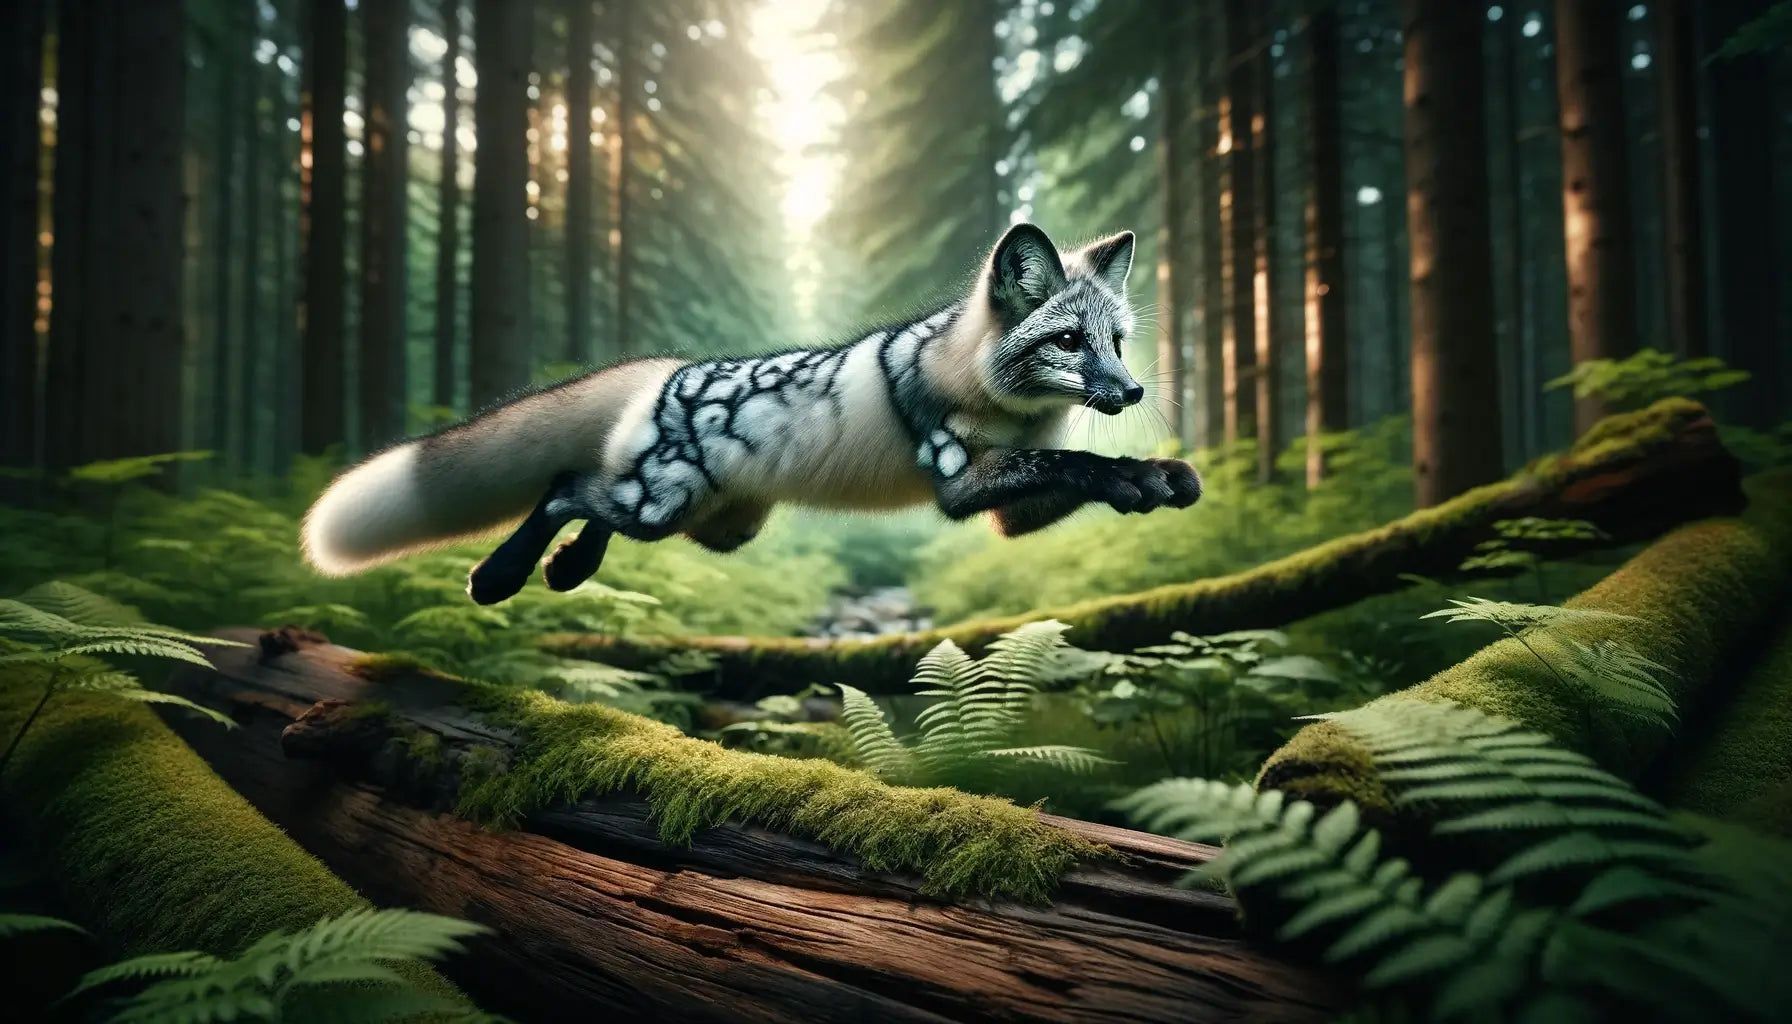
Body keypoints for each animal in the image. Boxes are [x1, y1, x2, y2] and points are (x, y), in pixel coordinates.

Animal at [302, 223, 1203, 604]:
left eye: (1117, 342)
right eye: (1067, 341)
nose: (1131, 394)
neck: (1009, 407)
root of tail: (667, 370)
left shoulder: (1008, 516)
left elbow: (1082, 469)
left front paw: (1158, 477)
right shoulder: (957, 483)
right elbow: (1075, 461)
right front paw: (1136, 477)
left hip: (710, 527)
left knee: (585, 502)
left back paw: (565, 571)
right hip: (658, 503)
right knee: (563, 487)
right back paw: (501, 577)